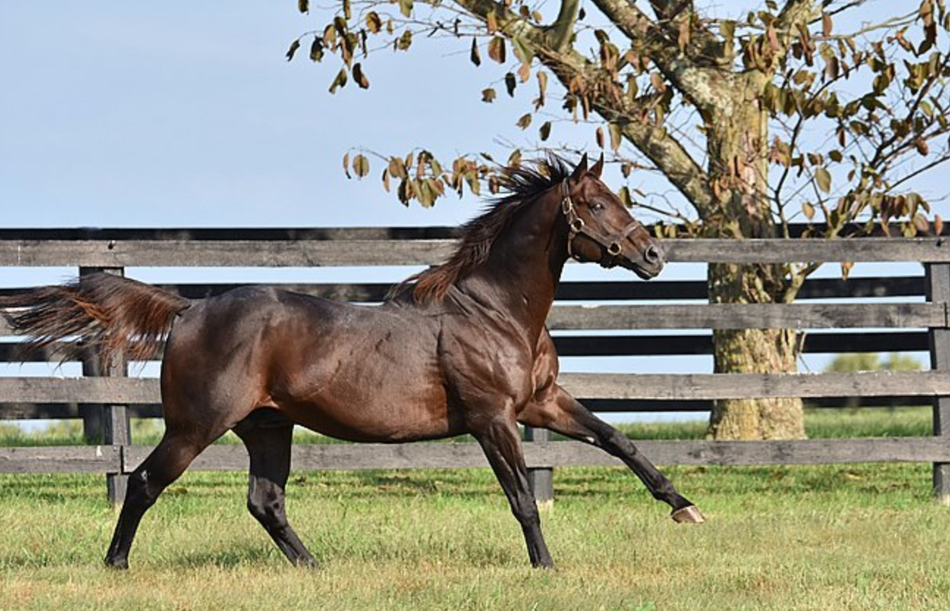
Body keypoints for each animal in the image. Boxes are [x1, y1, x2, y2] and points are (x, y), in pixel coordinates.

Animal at [0, 154, 703, 570]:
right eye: (599, 204)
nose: (652, 256)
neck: (496, 312)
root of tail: (190, 309)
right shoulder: (493, 419)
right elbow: (524, 497)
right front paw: (545, 567)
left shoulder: (541, 403)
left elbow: (618, 440)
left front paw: (684, 507)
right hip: (196, 426)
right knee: (147, 482)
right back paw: (115, 565)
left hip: (268, 426)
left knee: (265, 501)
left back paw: (314, 569)